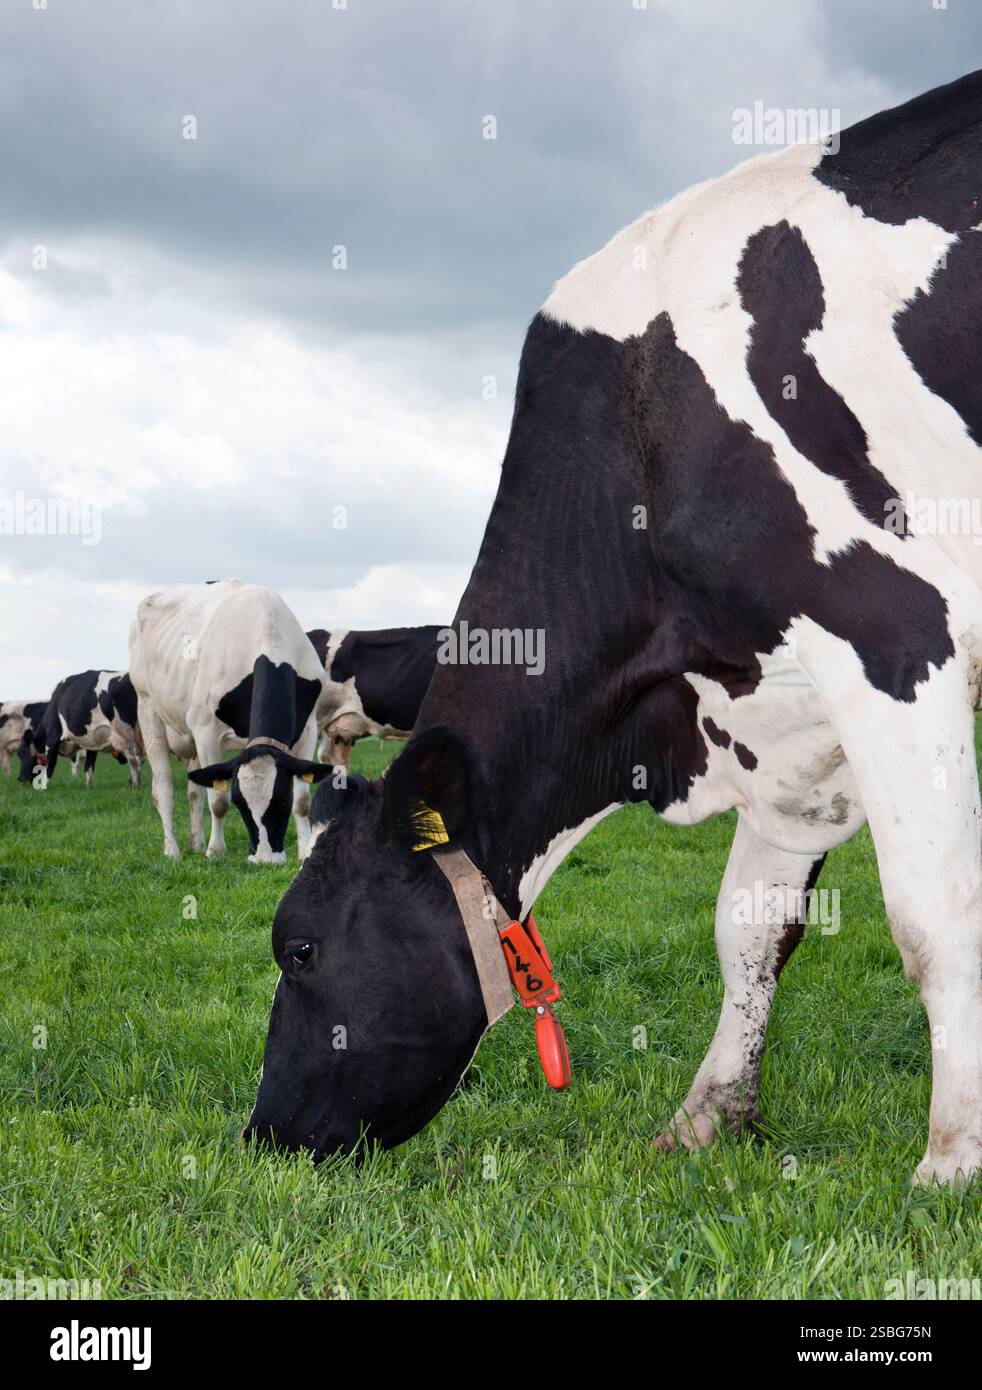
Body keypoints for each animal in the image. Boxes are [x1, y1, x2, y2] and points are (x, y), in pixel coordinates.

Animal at [129, 579, 331, 864]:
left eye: (282, 800)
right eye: (240, 803)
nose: (265, 860)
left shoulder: (308, 729)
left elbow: (303, 800)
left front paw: (304, 851)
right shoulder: (206, 732)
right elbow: (218, 800)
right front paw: (216, 852)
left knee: (194, 790)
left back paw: (196, 843)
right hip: (147, 708)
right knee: (163, 789)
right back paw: (173, 850)